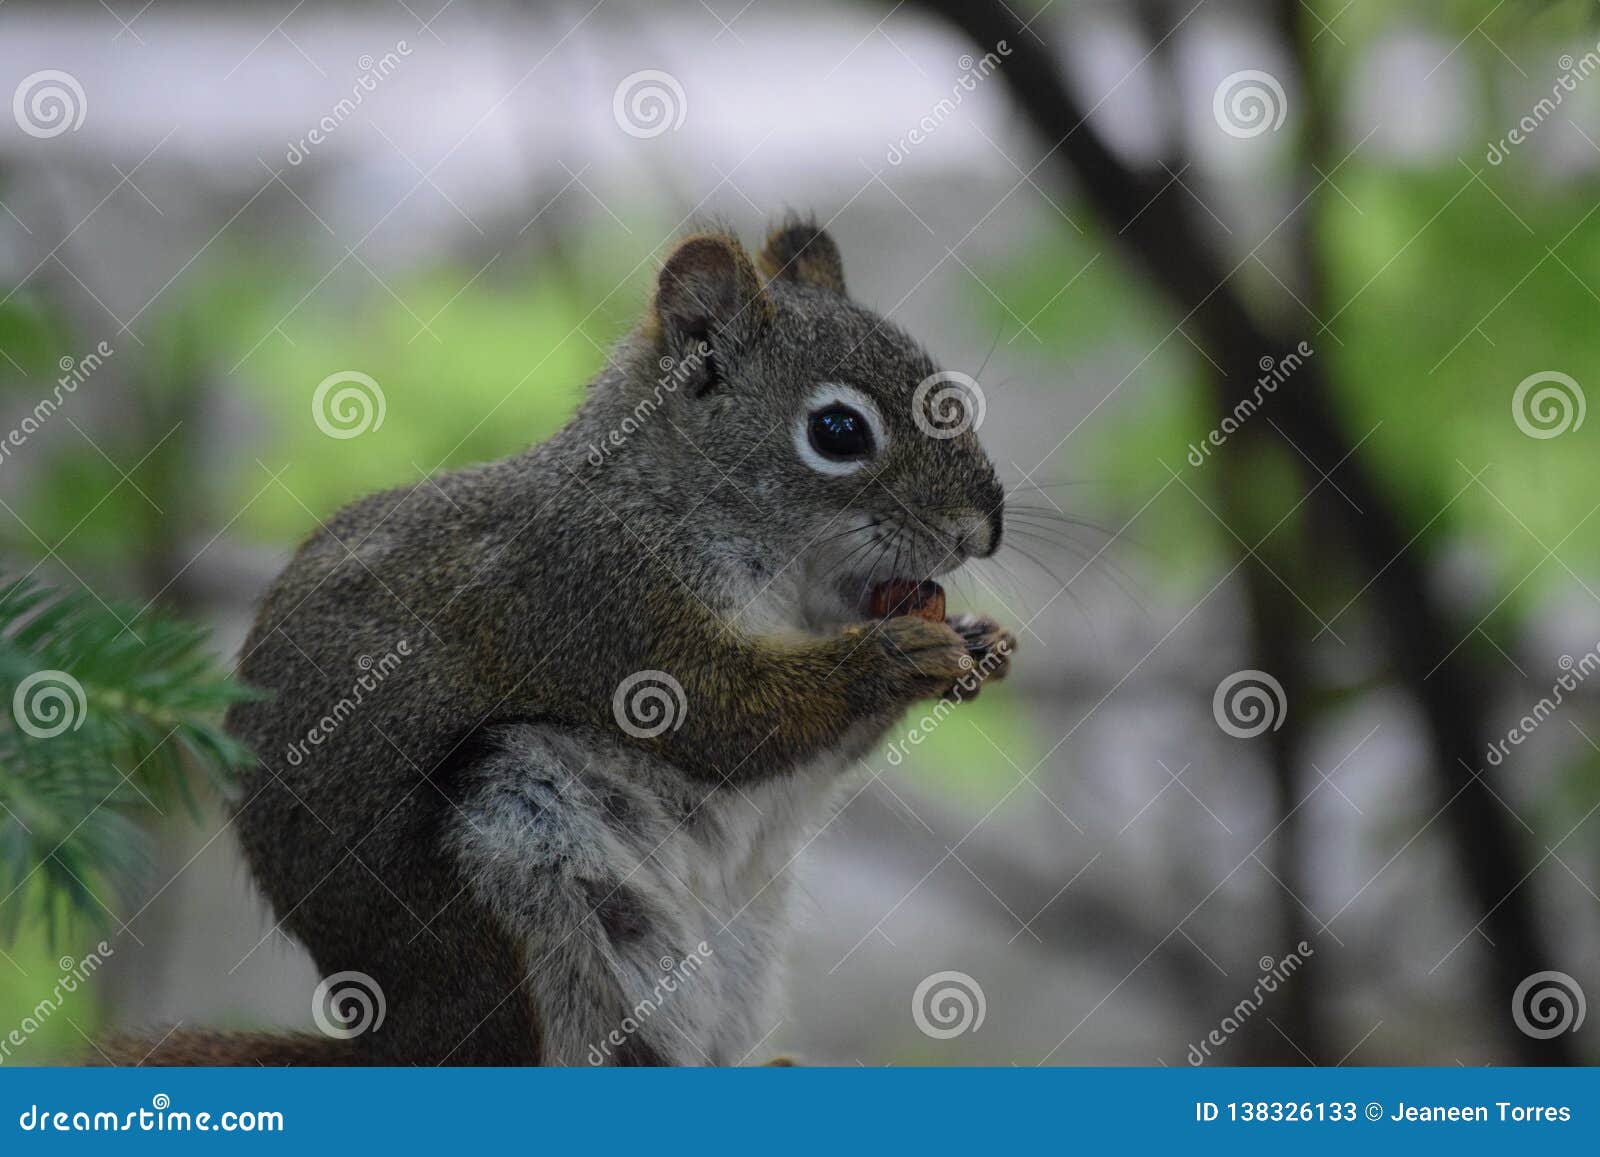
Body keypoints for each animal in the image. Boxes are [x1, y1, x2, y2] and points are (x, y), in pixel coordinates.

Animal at [102, 218, 1015, 1066]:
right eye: (837, 430)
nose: (982, 532)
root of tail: (402, 1044)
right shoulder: (600, 604)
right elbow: (730, 717)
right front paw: (892, 657)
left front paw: (980, 638)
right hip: (533, 873)